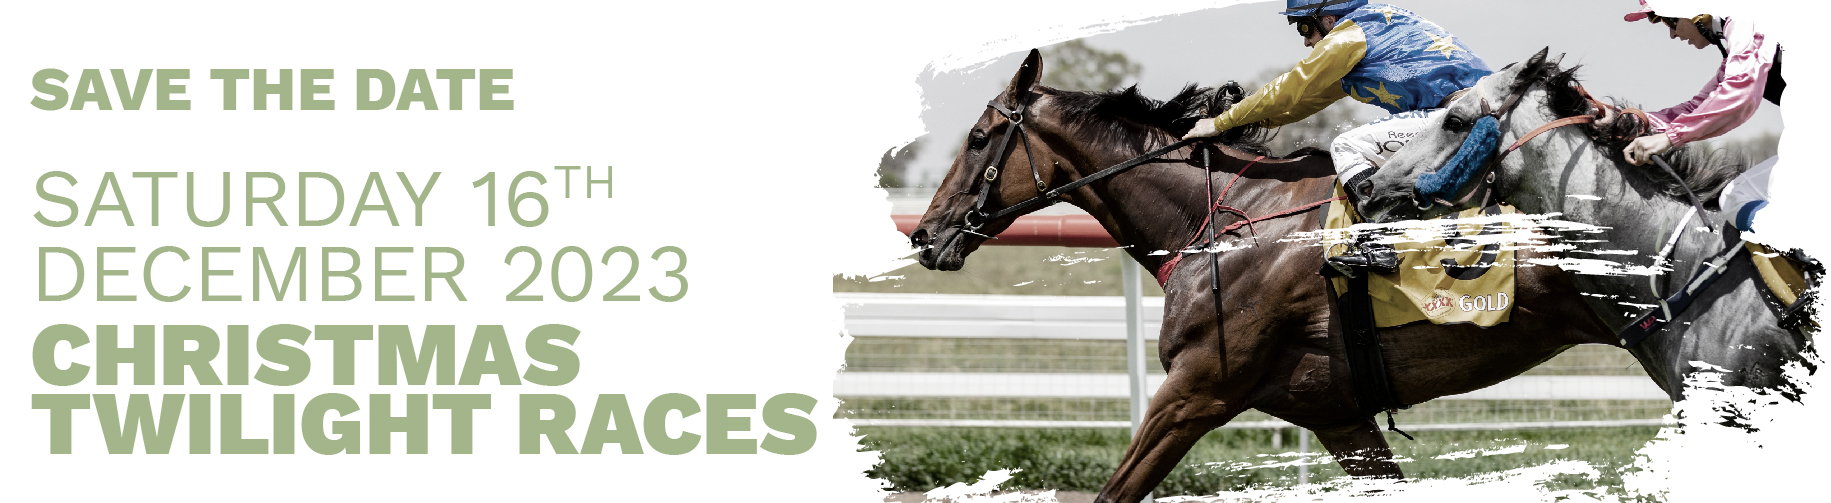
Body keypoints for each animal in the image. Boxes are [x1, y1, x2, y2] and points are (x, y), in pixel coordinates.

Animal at [907, 49, 1623, 503]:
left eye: (976, 138)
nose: (924, 235)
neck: (1225, 223)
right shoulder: (1339, 415)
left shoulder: (1197, 390)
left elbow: (1115, 490)